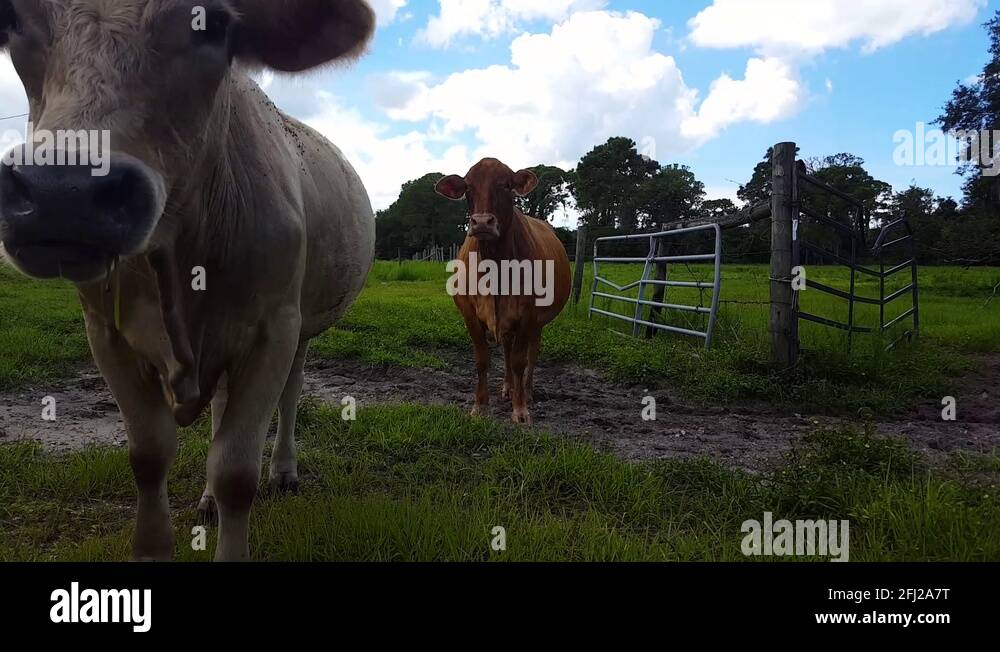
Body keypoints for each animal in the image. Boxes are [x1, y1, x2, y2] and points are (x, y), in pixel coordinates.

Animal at [0, 0, 377, 561]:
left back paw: (283, 471)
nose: (64, 191)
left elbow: (236, 472)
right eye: (12, 17)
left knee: (291, 393)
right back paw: (206, 500)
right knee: (220, 405)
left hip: (302, 326)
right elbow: (149, 456)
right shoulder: (105, 333)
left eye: (215, 22)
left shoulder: (274, 328)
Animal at [436, 158, 571, 426]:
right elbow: (482, 359)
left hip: (537, 323)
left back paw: (527, 391)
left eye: (507, 185)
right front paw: (480, 405)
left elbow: (520, 361)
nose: (481, 222)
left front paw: (520, 409)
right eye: (467, 187)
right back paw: (508, 387)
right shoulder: (469, 313)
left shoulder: (529, 314)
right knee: (507, 352)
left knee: (531, 354)